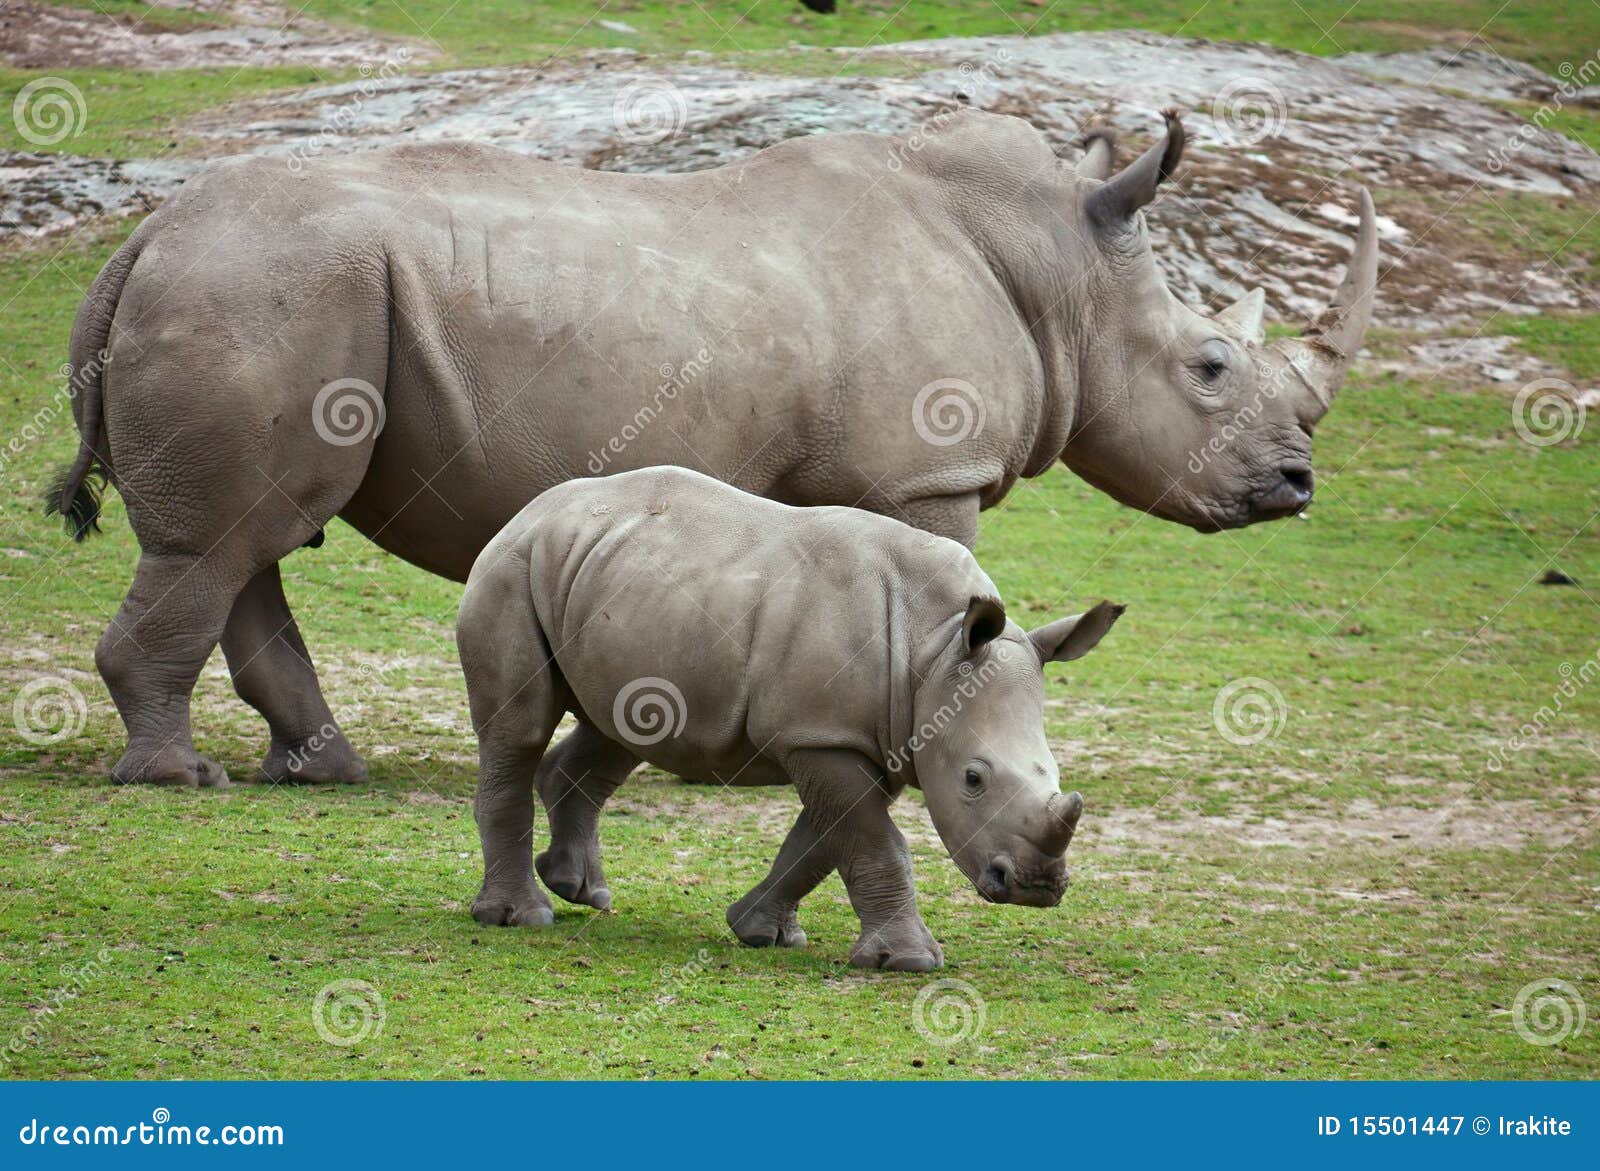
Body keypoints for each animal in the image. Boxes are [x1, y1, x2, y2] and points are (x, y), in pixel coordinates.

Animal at [49, 108, 1376, 788]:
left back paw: (324, 771)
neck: (1062, 270)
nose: (1297, 483)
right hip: (260, 293)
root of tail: (144, 239)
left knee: (250, 539)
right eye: (1209, 368)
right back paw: (180, 778)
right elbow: (949, 595)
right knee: (225, 541)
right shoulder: (924, 474)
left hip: (268, 294)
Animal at [458, 465, 1124, 969]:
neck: (934, 650)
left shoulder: (861, 736)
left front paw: (760, 932)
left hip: (613, 581)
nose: (1035, 888)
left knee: (624, 727)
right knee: (519, 731)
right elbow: (872, 840)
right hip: (512, 569)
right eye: (974, 779)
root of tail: (532, 509)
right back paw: (522, 918)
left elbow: (823, 842)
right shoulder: (822, 738)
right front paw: (909, 963)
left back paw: (582, 890)